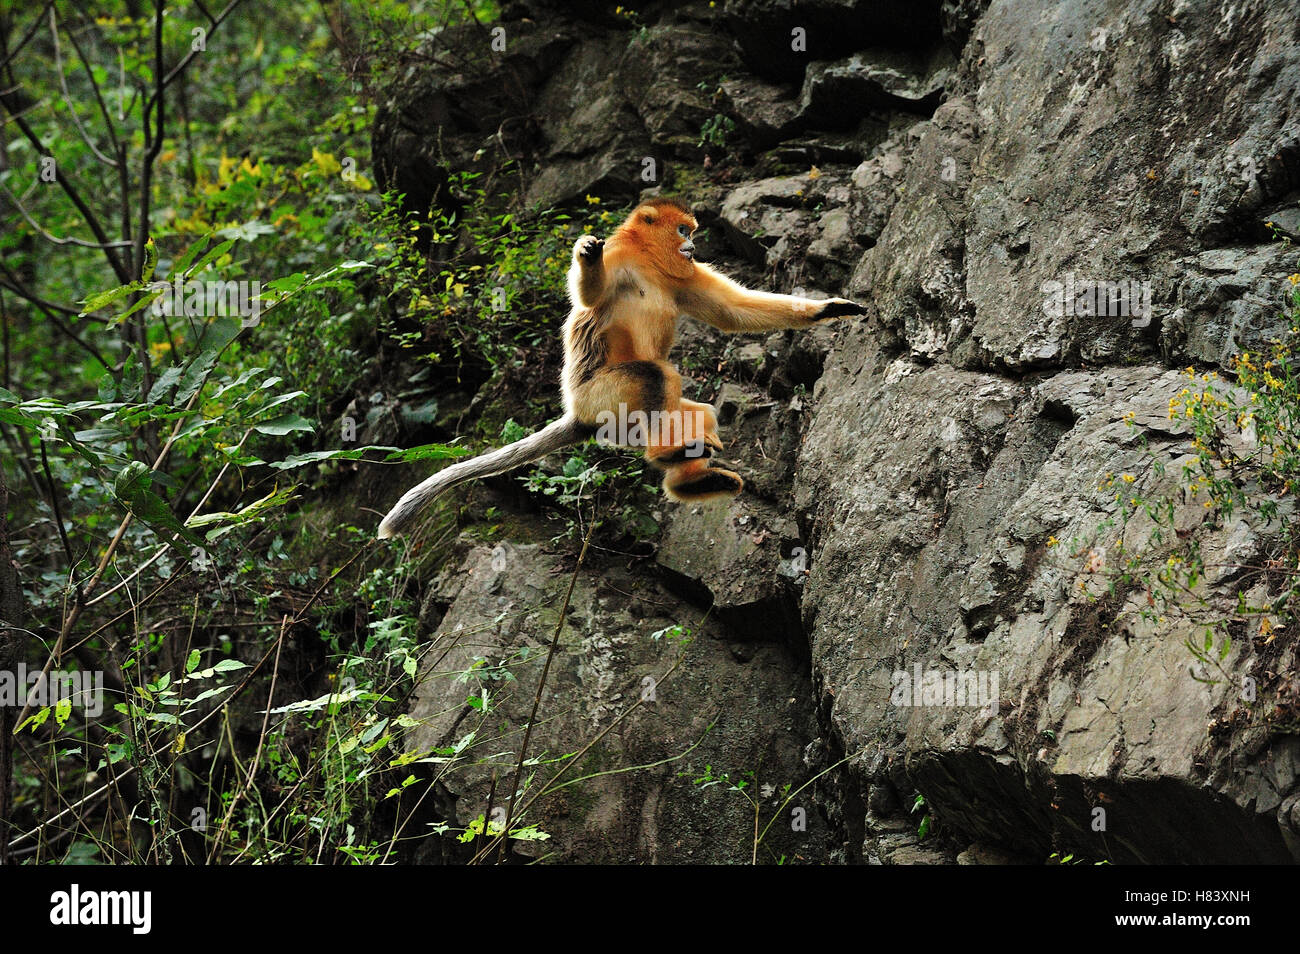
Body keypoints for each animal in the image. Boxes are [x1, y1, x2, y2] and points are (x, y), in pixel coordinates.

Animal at [377, 196, 865, 539]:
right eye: (683, 229)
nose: (692, 245)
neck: (649, 261)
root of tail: (577, 414)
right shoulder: (622, 258)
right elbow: (592, 295)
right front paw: (586, 256)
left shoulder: (682, 274)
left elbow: (733, 312)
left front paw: (829, 309)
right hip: (601, 396)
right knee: (656, 376)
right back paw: (662, 453)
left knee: (699, 411)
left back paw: (687, 480)